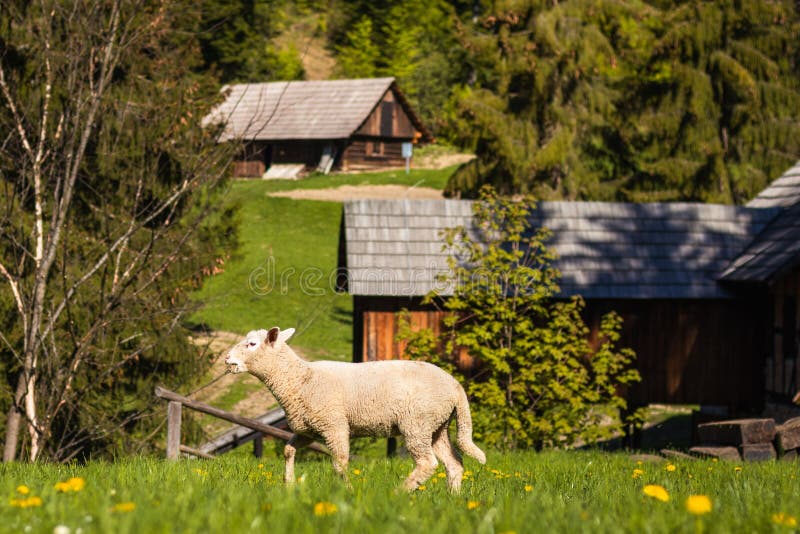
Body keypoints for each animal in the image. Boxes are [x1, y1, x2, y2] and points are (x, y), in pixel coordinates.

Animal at [224, 326, 486, 492]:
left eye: (251, 344)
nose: (227, 359)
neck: (300, 380)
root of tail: (456, 387)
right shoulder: (310, 429)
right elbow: (289, 450)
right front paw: (288, 485)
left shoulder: (334, 426)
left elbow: (339, 463)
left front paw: (347, 492)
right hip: (437, 425)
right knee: (454, 463)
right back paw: (453, 498)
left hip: (417, 423)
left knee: (427, 463)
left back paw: (399, 494)